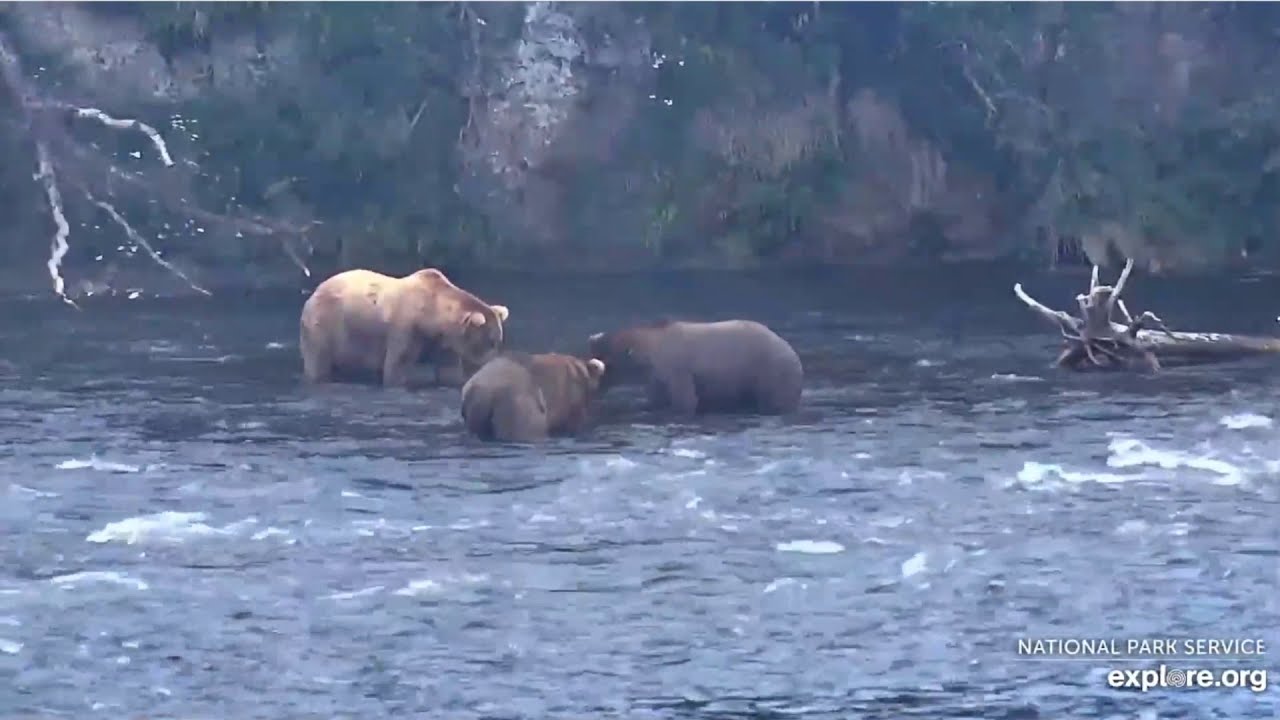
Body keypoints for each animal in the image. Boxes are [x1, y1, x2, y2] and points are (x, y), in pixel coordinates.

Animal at [299, 267, 509, 388]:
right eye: (491, 341)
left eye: (498, 340)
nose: (492, 364)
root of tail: (313, 294)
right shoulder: (406, 327)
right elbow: (398, 362)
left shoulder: (443, 342)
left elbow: (449, 370)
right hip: (326, 325)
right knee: (319, 360)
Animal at [587, 318, 803, 415]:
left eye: (604, 363)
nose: (596, 386)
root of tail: (792, 350)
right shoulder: (657, 376)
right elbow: (656, 397)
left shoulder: (677, 367)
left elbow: (685, 399)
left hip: (769, 370)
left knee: (774, 398)